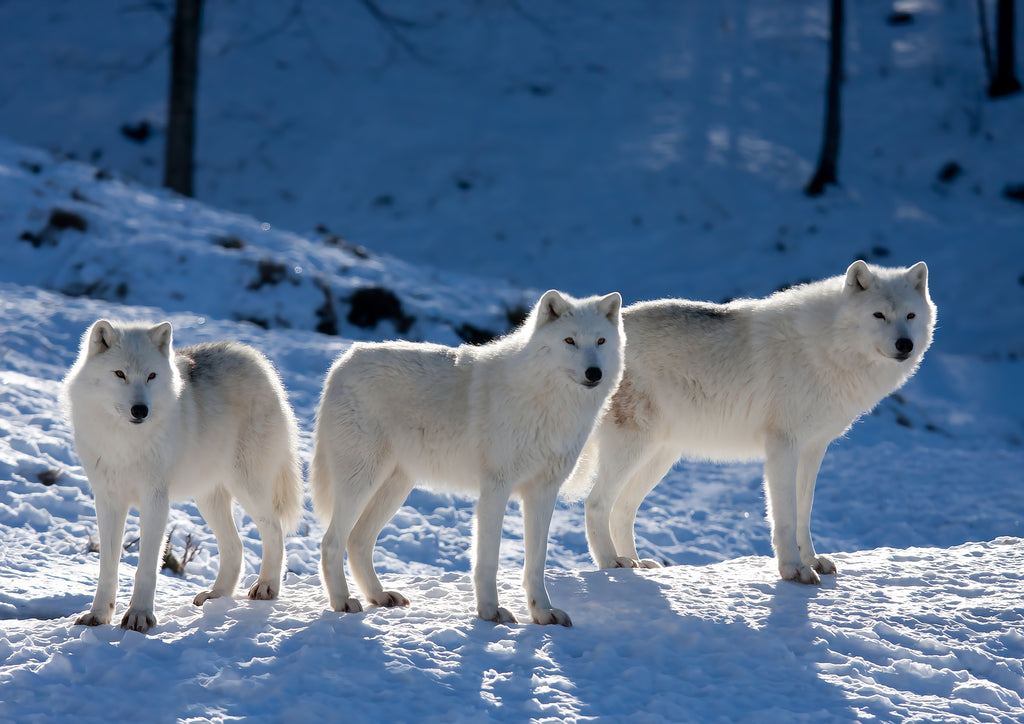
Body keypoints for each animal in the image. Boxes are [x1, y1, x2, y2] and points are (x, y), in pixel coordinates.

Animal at [64, 320, 302, 632]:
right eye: (120, 374)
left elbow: (146, 567)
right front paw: (99, 615)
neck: (125, 442)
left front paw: (139, 616)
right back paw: (216, 594)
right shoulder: (107, 500)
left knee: (274, 530)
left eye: (151, 376)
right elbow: (108, 568)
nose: (140, 410)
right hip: (208, 499)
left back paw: (266, 587)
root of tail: (255, 359)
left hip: (247, 487)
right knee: (235, 545)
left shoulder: (155, 500)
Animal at [311, 290, 624, 626]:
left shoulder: (543, 492)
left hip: (396, 487)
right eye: (569, 341)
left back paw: (379, 596)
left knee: (357, 541)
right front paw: (490, 611)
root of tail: (340, 363)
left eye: (601, 341)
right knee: (331, 542)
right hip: (362, 482)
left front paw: (542, 611)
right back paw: (342, 601)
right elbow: (488, 560)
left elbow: (536, 563)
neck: (548, 403)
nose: (594, 373)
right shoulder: (495, 489)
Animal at [579, 261, 936, 584]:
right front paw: (793, 570)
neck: (827, 347)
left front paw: (812, 561)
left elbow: (804, 511)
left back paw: (636, 562)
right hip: (633, 450)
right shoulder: (783, 446)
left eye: (910, 316)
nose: (905, 345)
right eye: (878, 315)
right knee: (596, 503)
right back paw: (612, 562)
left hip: (659, 457)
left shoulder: (813, 449)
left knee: (622, 509)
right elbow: (785, 517)